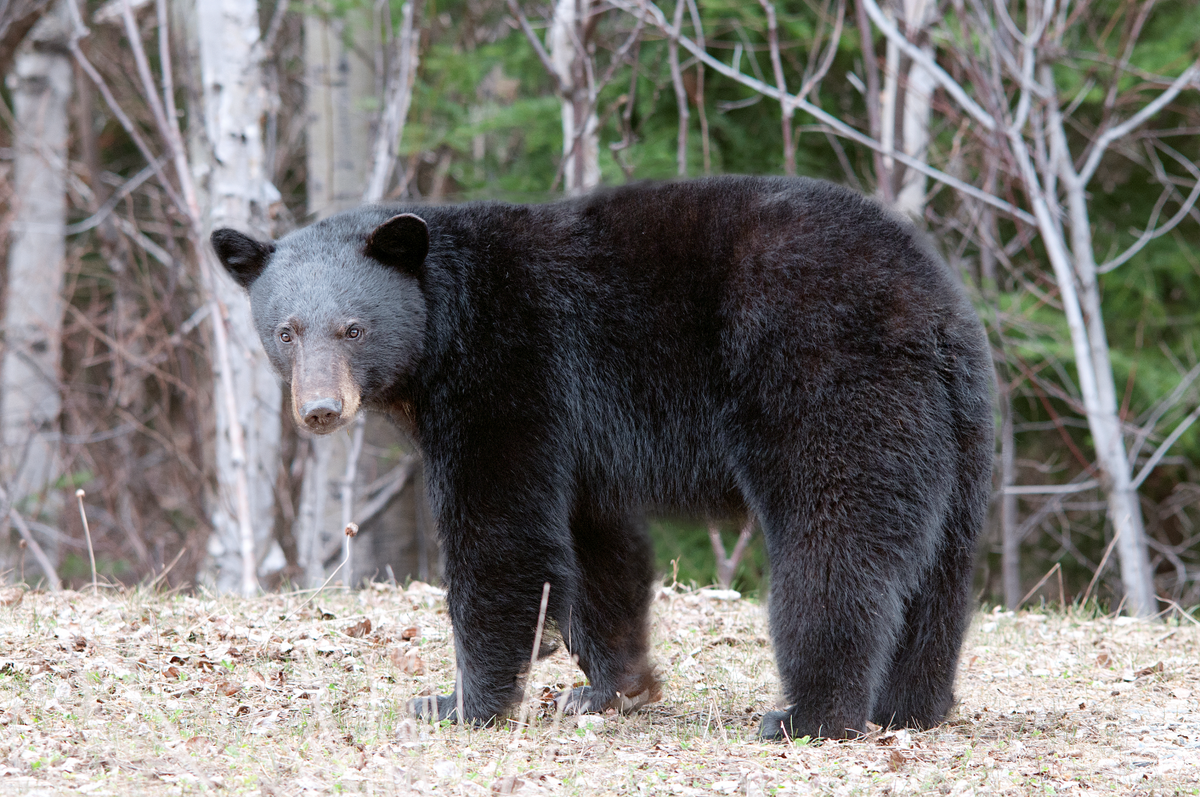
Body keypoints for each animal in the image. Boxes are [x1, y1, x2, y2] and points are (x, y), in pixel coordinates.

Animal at [211, 175, 994, 740]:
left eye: (354, 328)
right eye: (285, 331)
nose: (320, 409)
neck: (445, 326)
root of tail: (928, 303)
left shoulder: (512, 373)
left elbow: (501, 533)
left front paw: (459, 703)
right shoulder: (580, 435)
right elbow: (598, 547)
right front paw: (610, 688)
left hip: (825, 378)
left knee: (834, 540)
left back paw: (810, 715)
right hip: (959, 428)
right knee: (940, 568)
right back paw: (912, 706)